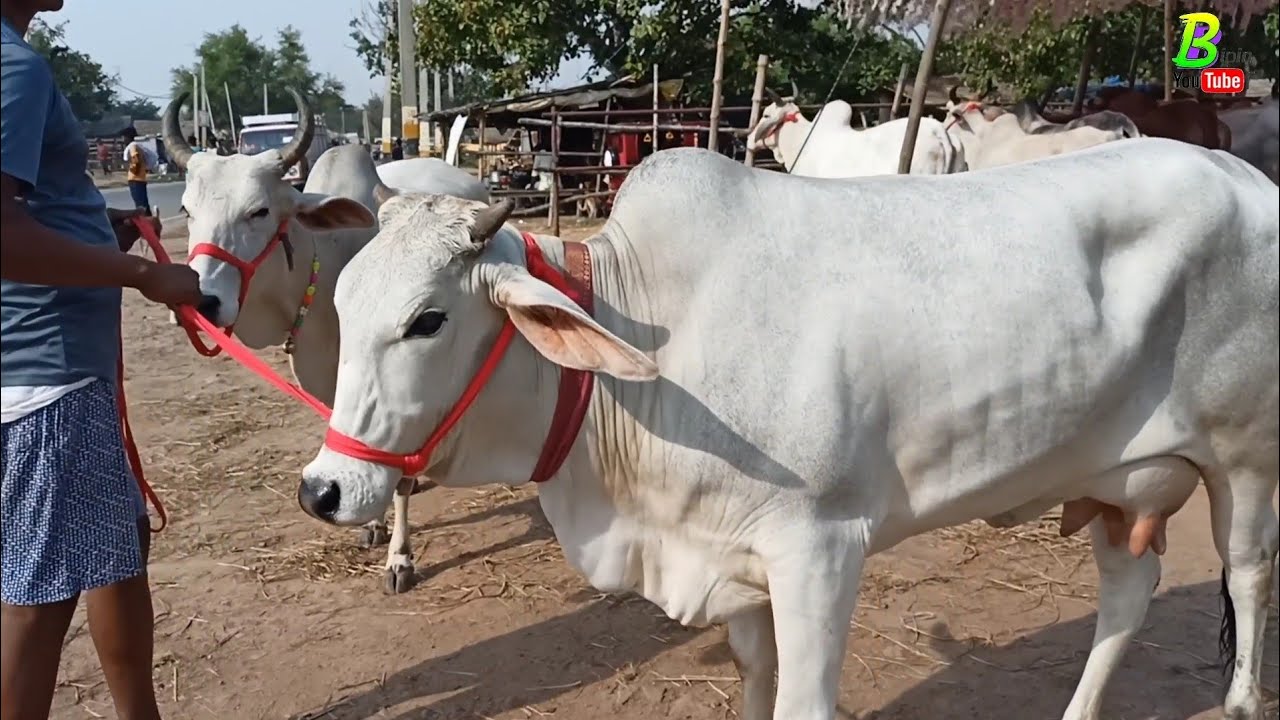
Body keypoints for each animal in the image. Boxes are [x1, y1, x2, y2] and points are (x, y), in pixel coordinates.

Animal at [160, 90, 487, 594]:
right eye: (187, 211)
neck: (324, 256)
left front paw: (400, 557)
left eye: (259, 211)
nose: (201, 300)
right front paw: (371, 523)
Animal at [294, 138, 1278, 720]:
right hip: (1120, 477)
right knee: (1128, 592)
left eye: (428, 320)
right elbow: (755, 682)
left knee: (1248, 575)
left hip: (1244, 461)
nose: (322, 488)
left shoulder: (821, 551)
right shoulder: (736, 563)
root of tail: (1244, 173)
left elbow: (801, 702)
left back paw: (1238, 703)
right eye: (343, 303)